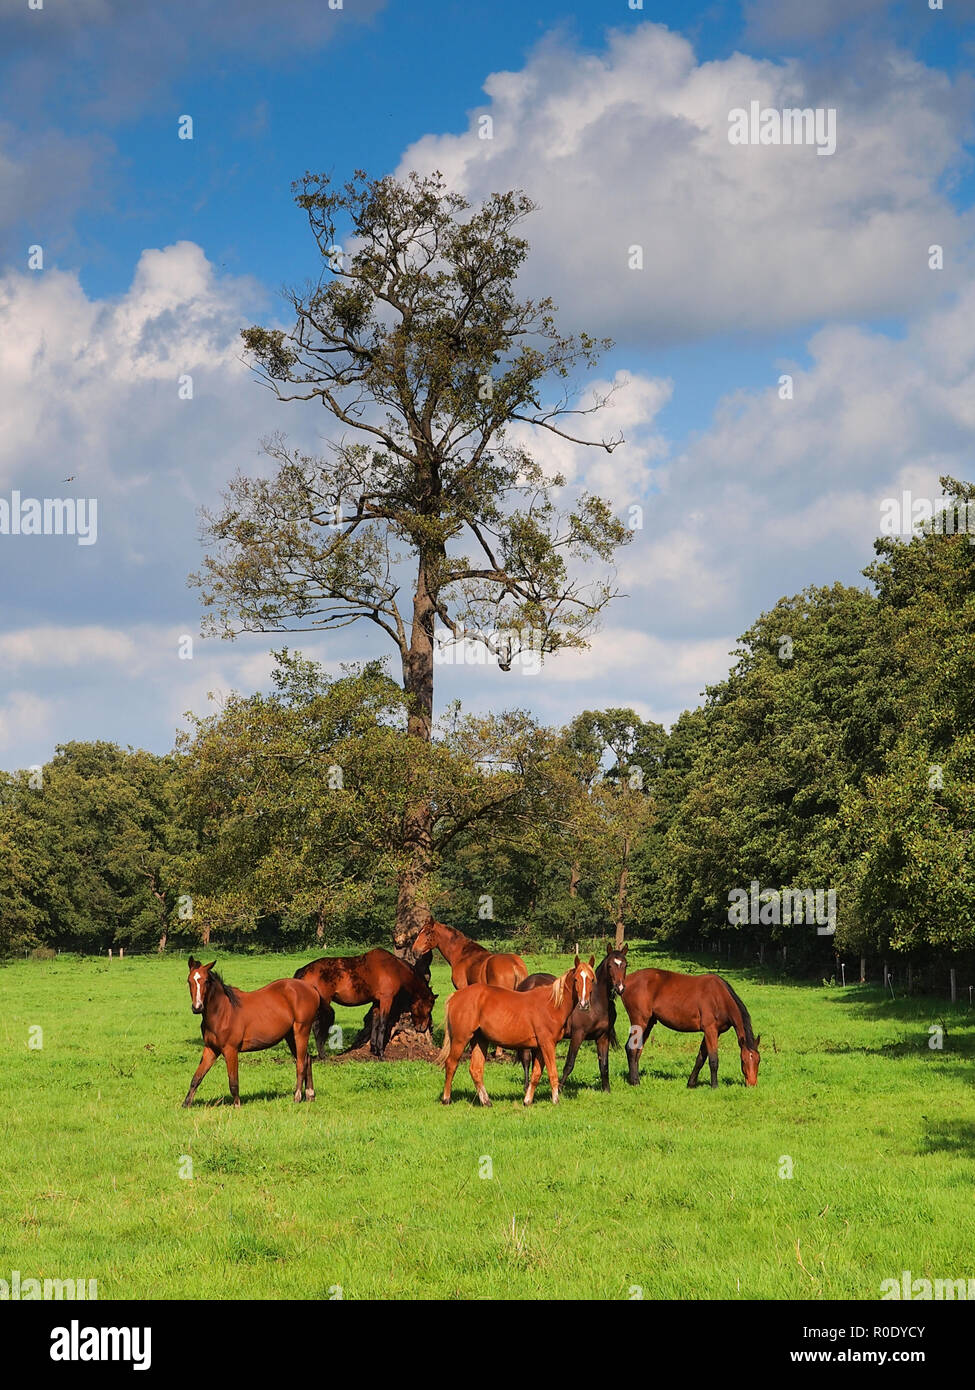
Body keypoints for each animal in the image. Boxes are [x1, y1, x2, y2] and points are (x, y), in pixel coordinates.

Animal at [181, 958, 319, 1107]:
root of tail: (311, 988)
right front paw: (185, 1104)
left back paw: (297, 1097)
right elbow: (197, 1078)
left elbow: (233, 1082)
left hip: (301, 1031)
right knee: (307, 1059)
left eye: (206, 981)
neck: (222, 1012)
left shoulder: (230, 1050)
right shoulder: (211, 1049)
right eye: (189, 980)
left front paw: (237, 1105)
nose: (197, 1007)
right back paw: (310, 1095)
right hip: (290, 1036)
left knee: (300, 1063)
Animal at [294, 948, 436, 1059]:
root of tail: (304, 970)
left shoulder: (377, 1002)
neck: (395, 968)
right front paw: (381, 1053)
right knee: (317, 1026)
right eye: (429, 1007)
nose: (423, 1028)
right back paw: (322, 1055)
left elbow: (375, 1023)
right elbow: (383, 1025)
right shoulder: (386, 1000)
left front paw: (374, 1049)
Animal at [437, 956, 596, 1106]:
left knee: (475, 1069)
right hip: (461, 1038)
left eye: (592, 979)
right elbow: (552, 1073)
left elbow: (536, 1074)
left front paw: (527, 1101)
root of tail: (455, 996)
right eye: (576, 979)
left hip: (479, 1040)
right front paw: (556, 1100)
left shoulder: (540, 1047)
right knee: (451, 1064)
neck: (552, 1004)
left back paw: (486, 1101)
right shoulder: (548, 1044)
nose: (584, 1004)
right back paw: (446, 1099)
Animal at [516, 943, 629, 1092]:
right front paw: (559, 1089)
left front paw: (607, 1090)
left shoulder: (603, 1037)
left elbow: (604, 1065)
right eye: (610, 966)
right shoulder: (578, 1035)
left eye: (626, 965)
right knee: (526, 1058)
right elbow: (569, 1063)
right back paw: (526, 1086)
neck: (597, 1004)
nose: (619, 988)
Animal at [621, 968, 761, 1088]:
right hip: (640, 1021)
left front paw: (691, 1083)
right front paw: (714, 1086)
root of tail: (626, 981)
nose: (752, 1084)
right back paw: (635, 1082)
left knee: (638, 1051)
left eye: (758, 1060)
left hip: (648, 1023)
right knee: (631, 1048)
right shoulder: (710, 1030)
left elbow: (701, 1058)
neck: (720, 997)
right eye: (743, 1060)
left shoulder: (713, 1032)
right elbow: (713, 1059)